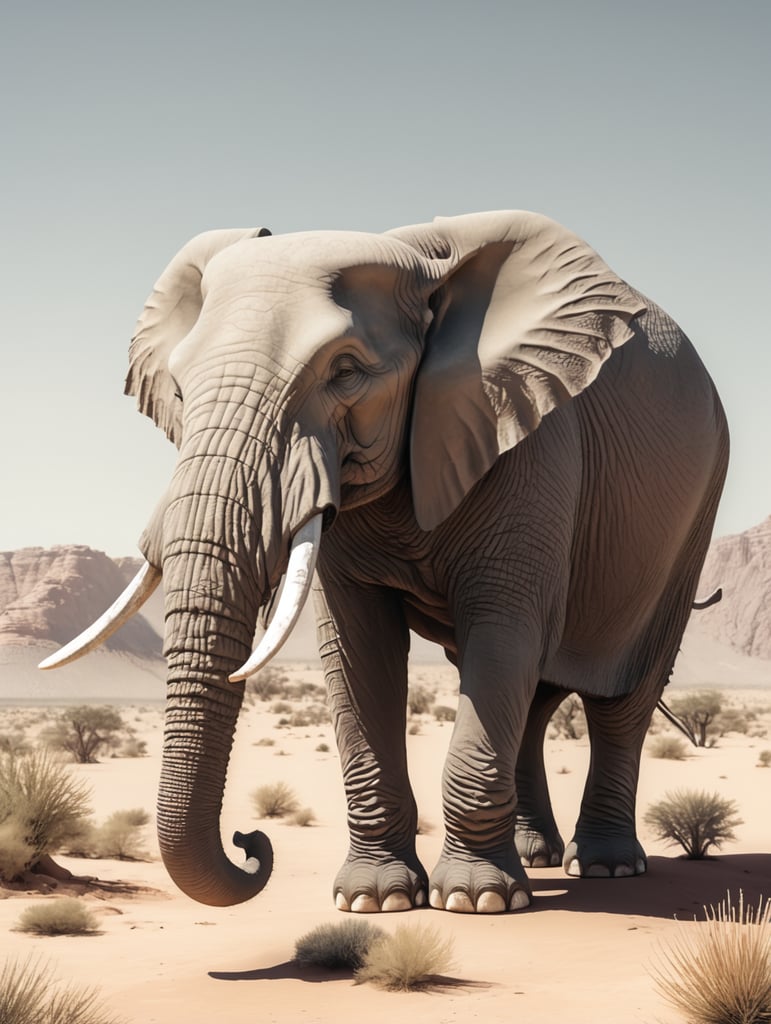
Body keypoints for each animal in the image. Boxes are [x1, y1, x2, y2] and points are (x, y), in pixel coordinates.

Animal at [41, 210, 729, 914]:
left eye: (346, 373)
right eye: (178, 389)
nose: (250, 841)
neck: (414, 256)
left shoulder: (529, 434)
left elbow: (503, 633)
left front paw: (476, 901)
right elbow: (358, 646)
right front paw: (377, 901)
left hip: (693, 514)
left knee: (622, 698)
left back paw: (606, 868)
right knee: (536, 700)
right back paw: (537, 857)